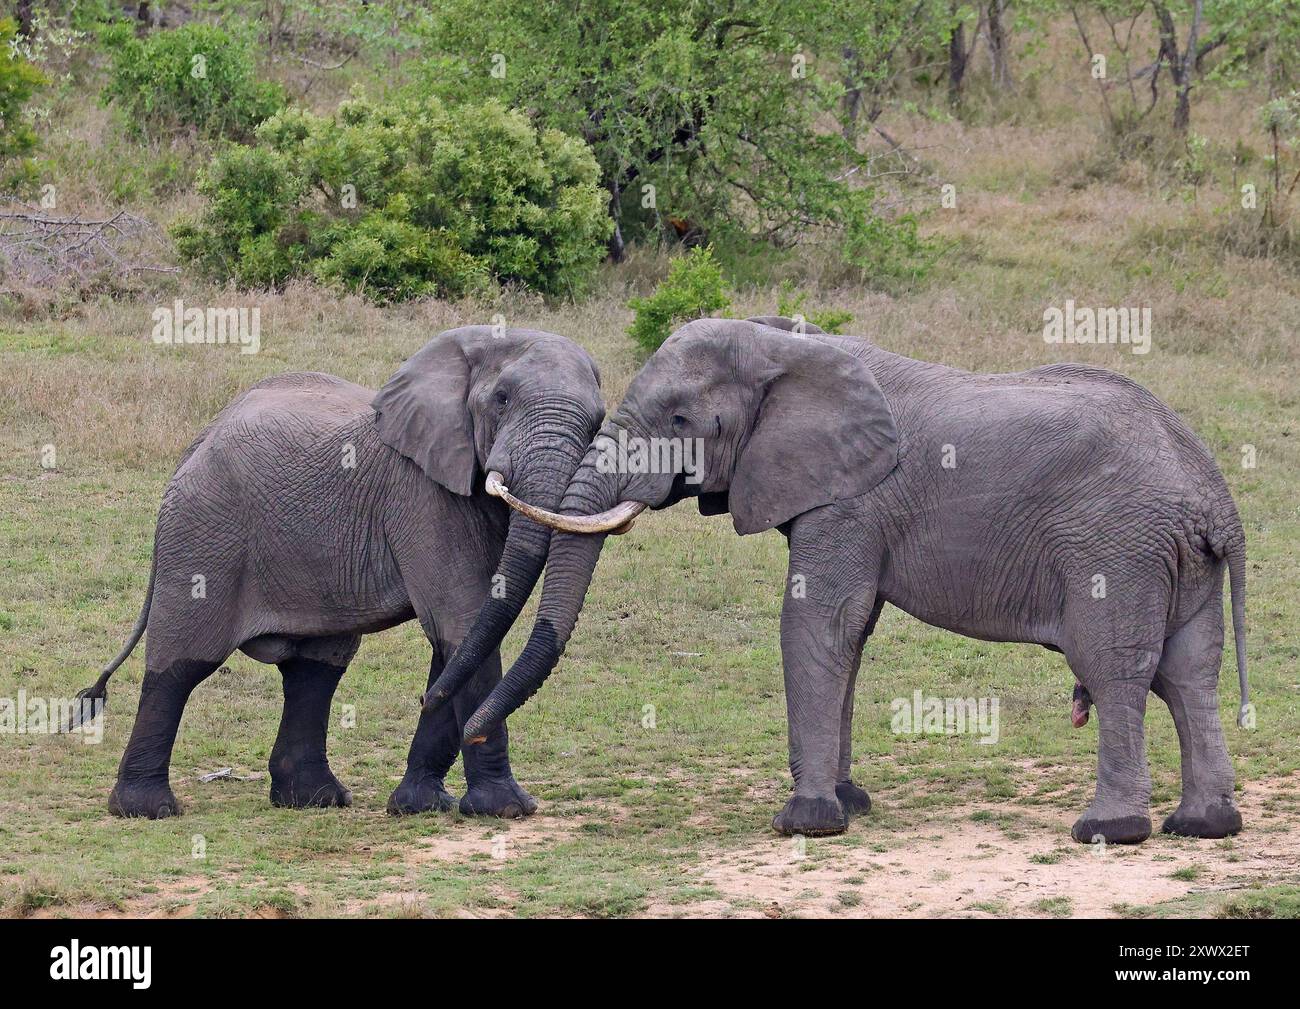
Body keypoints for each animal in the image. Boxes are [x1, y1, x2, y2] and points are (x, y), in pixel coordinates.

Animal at [72, 326, 606, 820]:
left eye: (599, 421)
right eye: (501, 399)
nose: (421, 700)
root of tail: (199, 440)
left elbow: (466, 636)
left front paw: (420, 805)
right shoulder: (421, 495)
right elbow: (463, 620)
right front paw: (506, 809)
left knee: (316, 667)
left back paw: (313, 800)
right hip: (203, 530)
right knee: (182, 664)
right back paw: (147, 809)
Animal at [427, 316, 1250, 844]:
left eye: (681, 419)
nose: (463, 723)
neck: (789, 346)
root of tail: (1215, 496)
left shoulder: (853, 498)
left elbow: (816, 621)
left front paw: (806, 823)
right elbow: (849, 635)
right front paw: (850, 803)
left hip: (1117, 550)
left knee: (1117, 671)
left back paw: (1111, 831)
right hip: (1171, 558)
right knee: (1189, 673)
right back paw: (1203, 826)